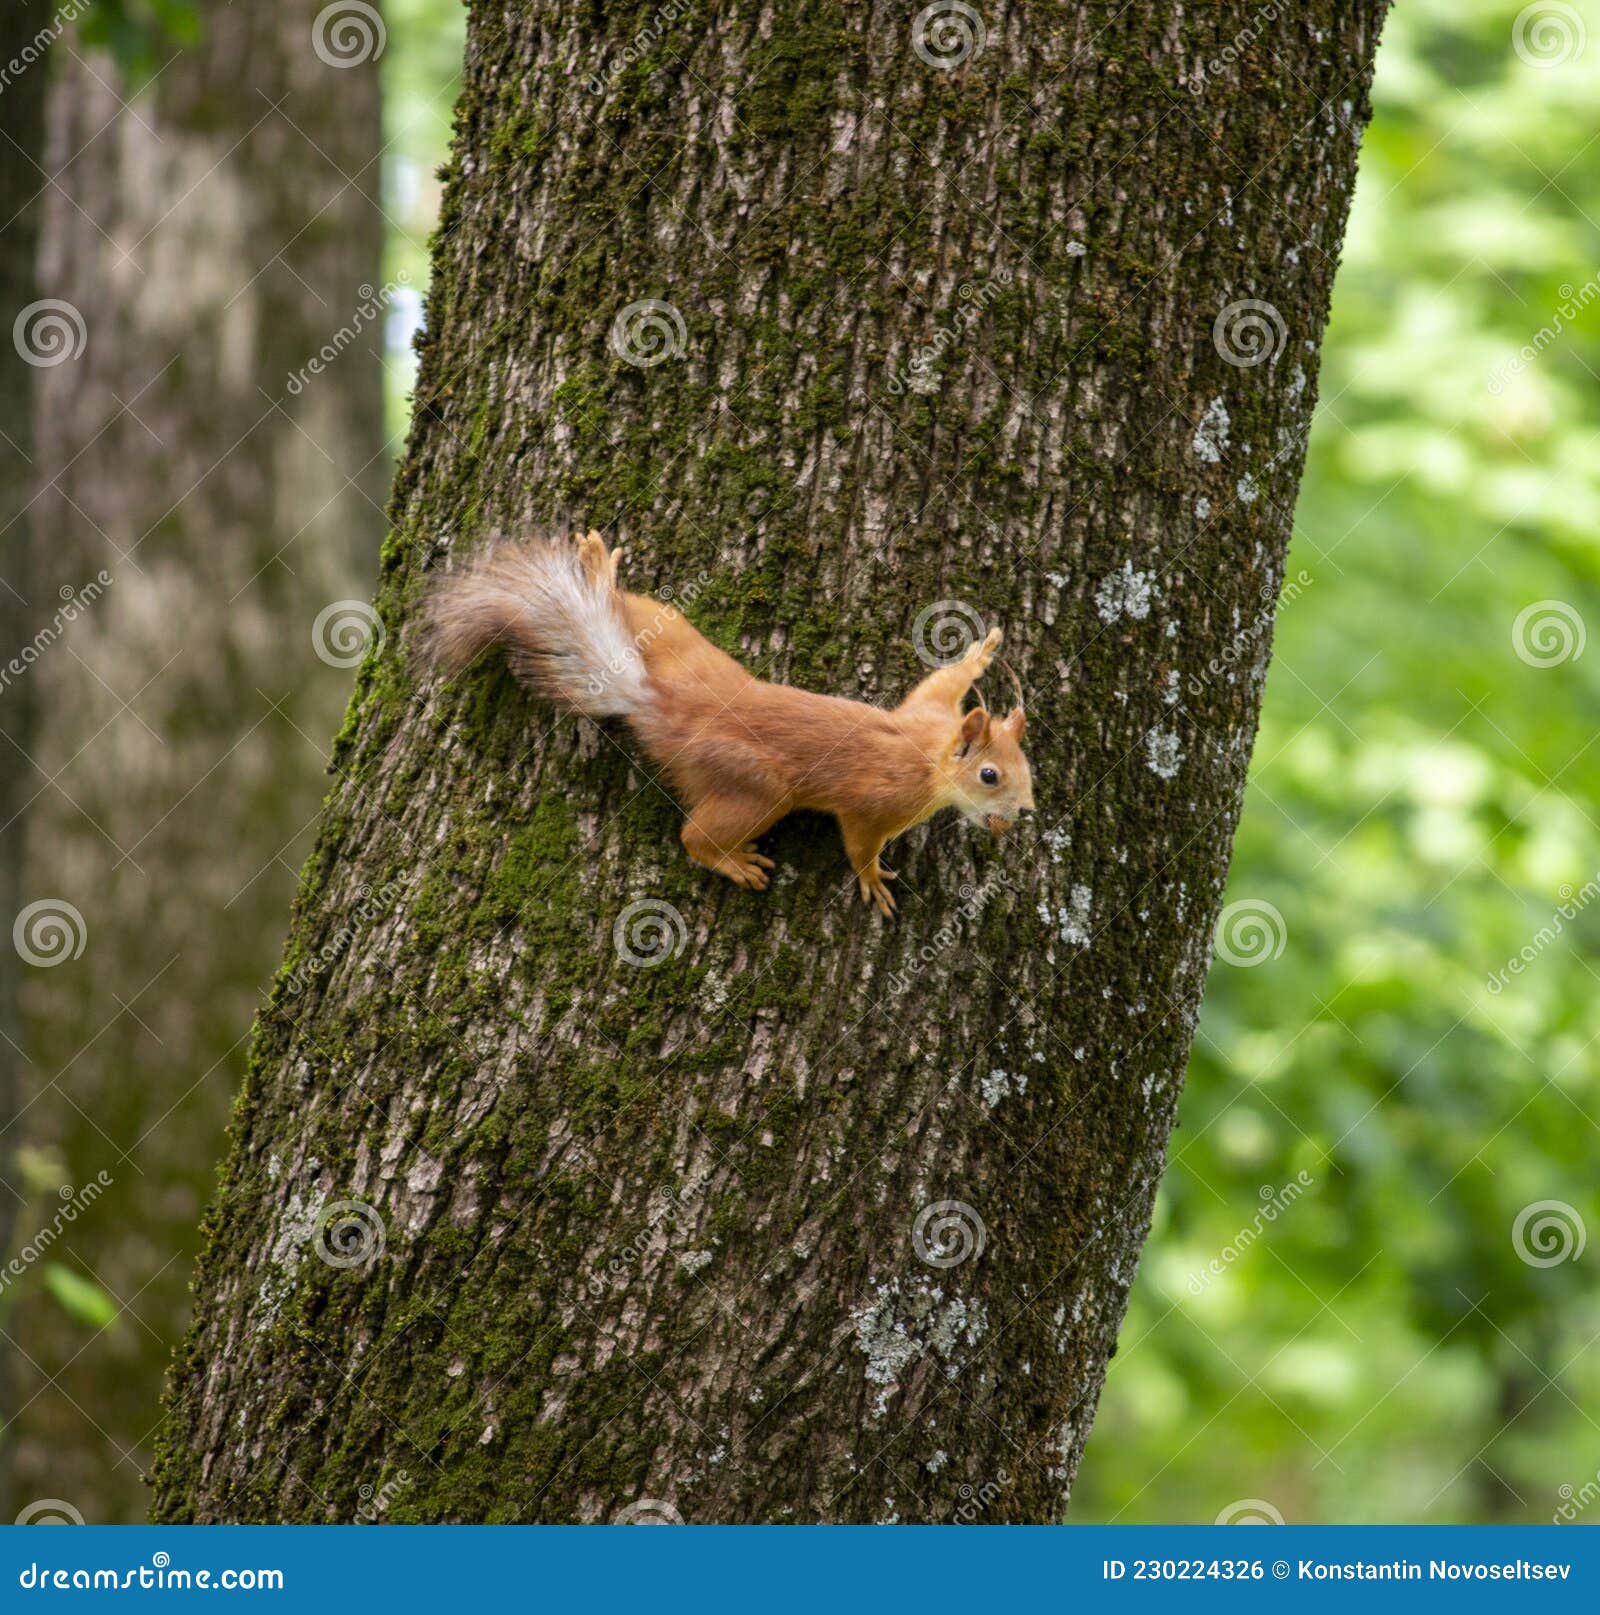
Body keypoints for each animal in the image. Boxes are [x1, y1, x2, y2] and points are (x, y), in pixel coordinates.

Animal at [419, 531, 1034, 916]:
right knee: (693, 836)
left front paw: (980, 652)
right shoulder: (877, 799)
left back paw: (601, 568)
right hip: (756, 784)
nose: (1026, 812)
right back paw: (732, 863)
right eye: (989, 776)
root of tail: (658, 702)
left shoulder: (929, 710)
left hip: (678, 642)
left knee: (635, 609)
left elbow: (941, 681)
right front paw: (872, 877)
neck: (931, 755)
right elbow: (859, 840)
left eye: (1028, 767)